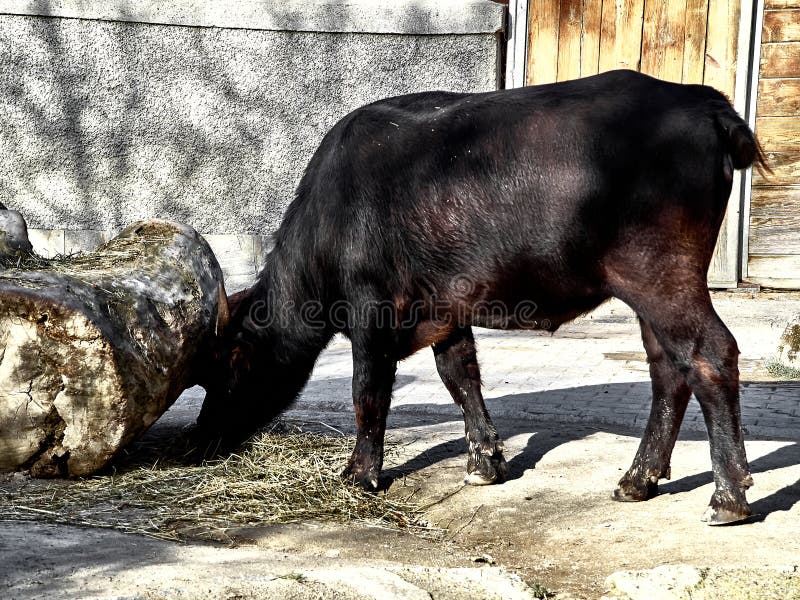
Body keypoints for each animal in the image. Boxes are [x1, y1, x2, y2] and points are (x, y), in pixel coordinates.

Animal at [197, 69, 766, 524]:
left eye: (227, 369)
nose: (198, 440)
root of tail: (704, 102)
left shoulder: (370, 310)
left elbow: (368, 391)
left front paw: (359, 473)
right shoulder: (446, 310)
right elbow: (461, 377)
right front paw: (485, 464)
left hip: (663, 279)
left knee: (710, 356)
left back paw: (727, 498)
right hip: (647, 294)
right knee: (668, 369)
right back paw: (637, 480)